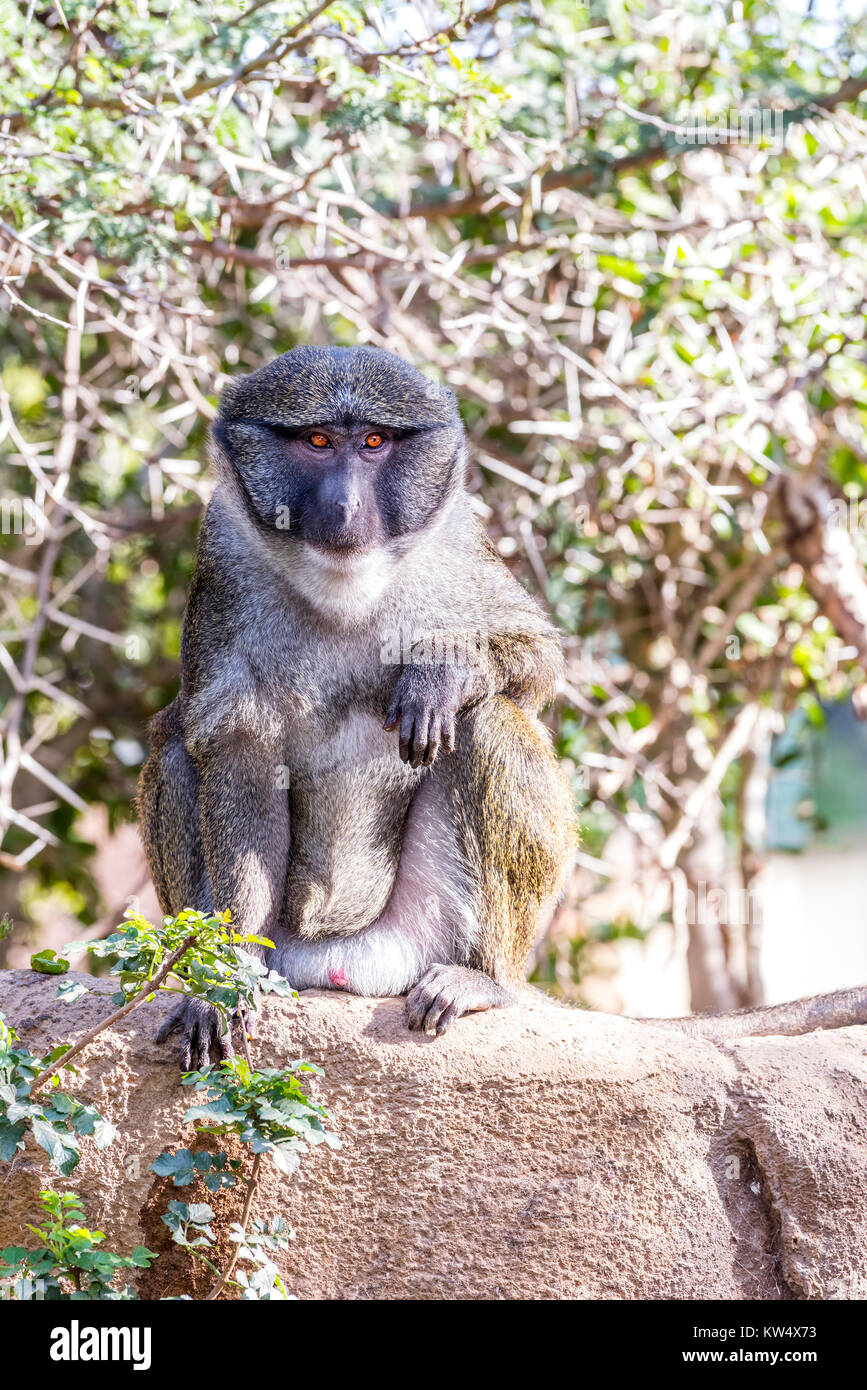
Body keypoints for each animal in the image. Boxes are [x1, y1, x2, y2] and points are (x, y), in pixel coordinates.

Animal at [138, 345, 867, 1069]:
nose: (345, 507)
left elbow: (537, 661)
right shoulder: (225, 558)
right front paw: (223, 981)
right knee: (172, 749)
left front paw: (446, 671)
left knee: (487, 723)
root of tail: (339, 965)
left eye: (374, 442)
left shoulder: (459, 538)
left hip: (431, 934)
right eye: (317, 442)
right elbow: (235, 749)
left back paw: (484, 981)